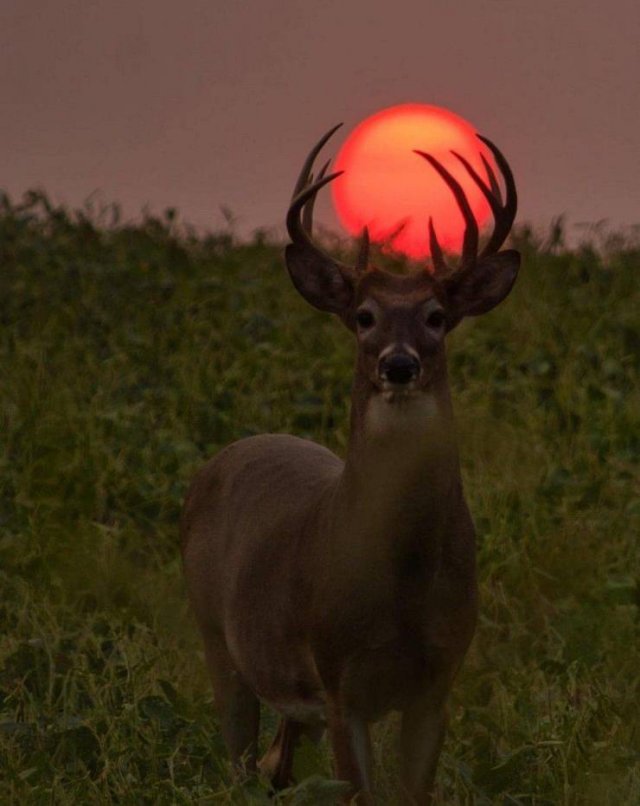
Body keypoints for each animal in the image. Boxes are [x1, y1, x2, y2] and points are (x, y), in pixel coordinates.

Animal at [181, 123, 519, 804]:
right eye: (364, 317)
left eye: (436, 317)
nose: (399, 363)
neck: (402, 579)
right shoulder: (340, 682)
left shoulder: (438, 681)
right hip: (218, 641)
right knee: (240, 764)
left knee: (277, 767)